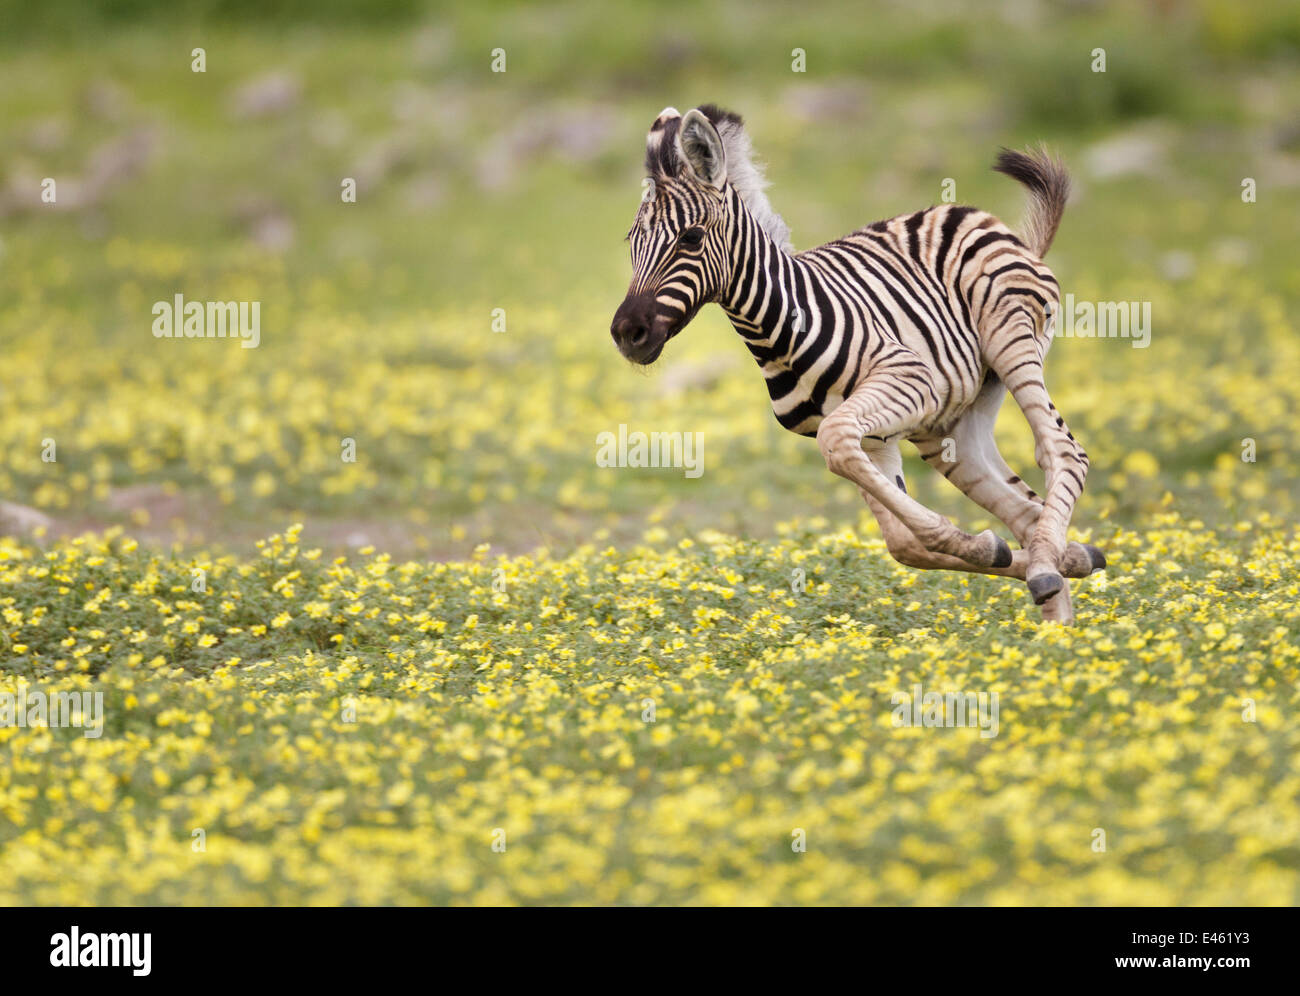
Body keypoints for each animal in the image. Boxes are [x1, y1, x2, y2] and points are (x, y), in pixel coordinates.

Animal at [610, 104, 1105, 623]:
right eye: (631, 242)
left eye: (691, 238)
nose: (626, 333)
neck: (776, 331)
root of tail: (976, 217)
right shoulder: (872, 438)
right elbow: (902, 540)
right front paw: (990, 548)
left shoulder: (904, 381)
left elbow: (851, 462)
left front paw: (988, 547)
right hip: (951, 425)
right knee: (1023, 508)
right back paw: (1058, 608)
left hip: (1009, 339)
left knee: (1063, 450)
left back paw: (1049, 574)